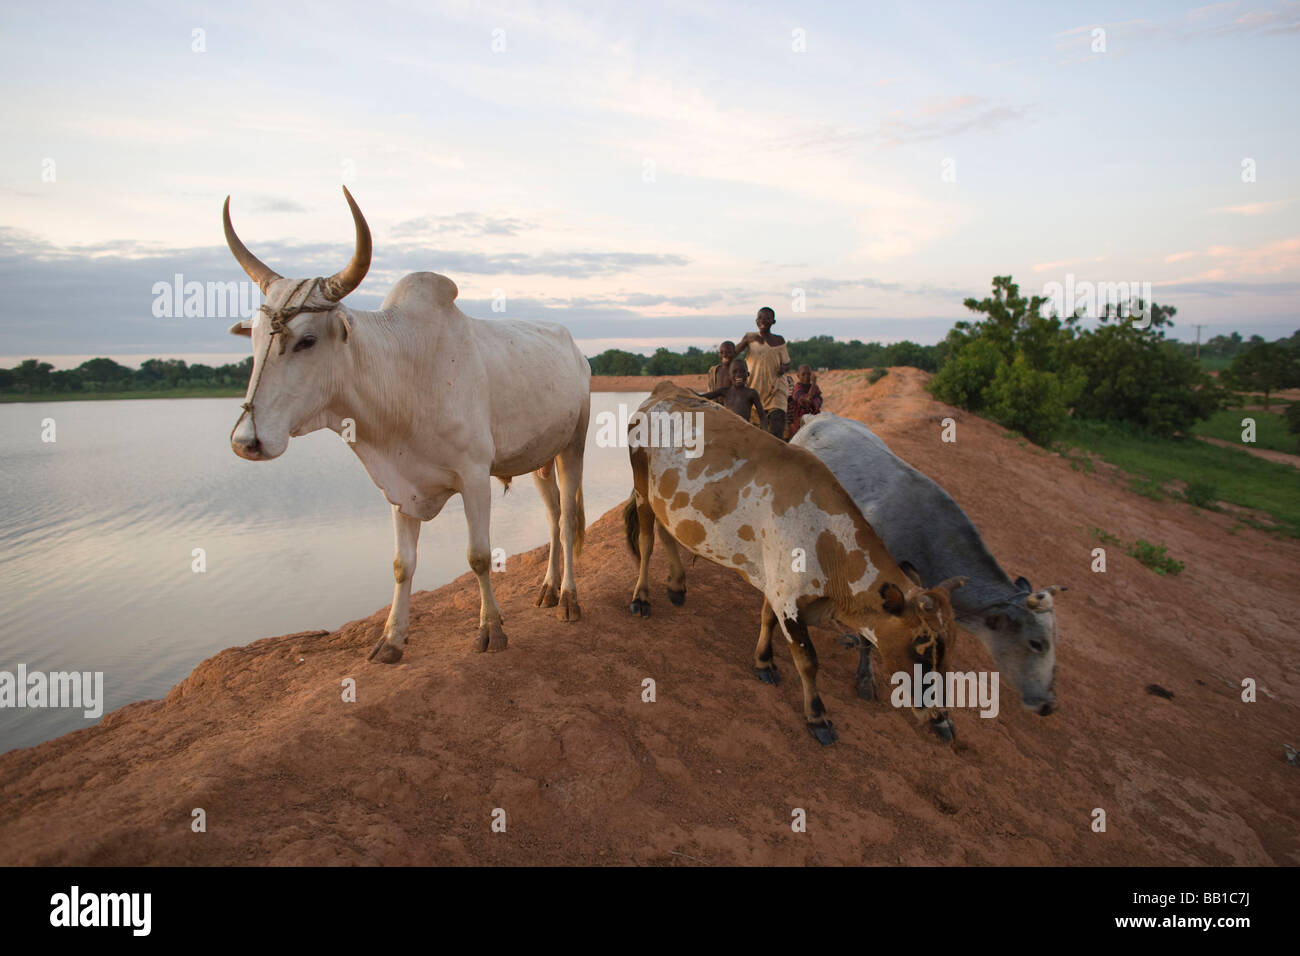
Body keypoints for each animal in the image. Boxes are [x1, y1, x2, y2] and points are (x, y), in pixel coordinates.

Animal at [223, 187, 590, 662]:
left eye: (307, 340)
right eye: (254, 340)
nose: (246, 440)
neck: (403, 373)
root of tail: (578, 351)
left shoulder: (474, 477)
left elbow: (478, 556)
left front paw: (491, 629)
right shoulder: (398, 484)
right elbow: (402, 564)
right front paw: (392, 639)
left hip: (574, 445)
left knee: (567, 521)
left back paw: (569, 599)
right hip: (539, 458)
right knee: (552, 516)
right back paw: (548, 588)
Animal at [623, 383, 966, 745]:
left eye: (950, 649)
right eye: (922, 646)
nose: (939, 716)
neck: (828, 542)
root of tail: (667, 388)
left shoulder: (776, 583)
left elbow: (766, 619)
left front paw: (764, 663)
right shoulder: (789, 599)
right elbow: (808, 660)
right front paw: (817, 717)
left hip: (666, 501)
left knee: (667, 532)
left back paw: (677, 586)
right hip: (641, 486)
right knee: (646, 543)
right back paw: (641, 598)